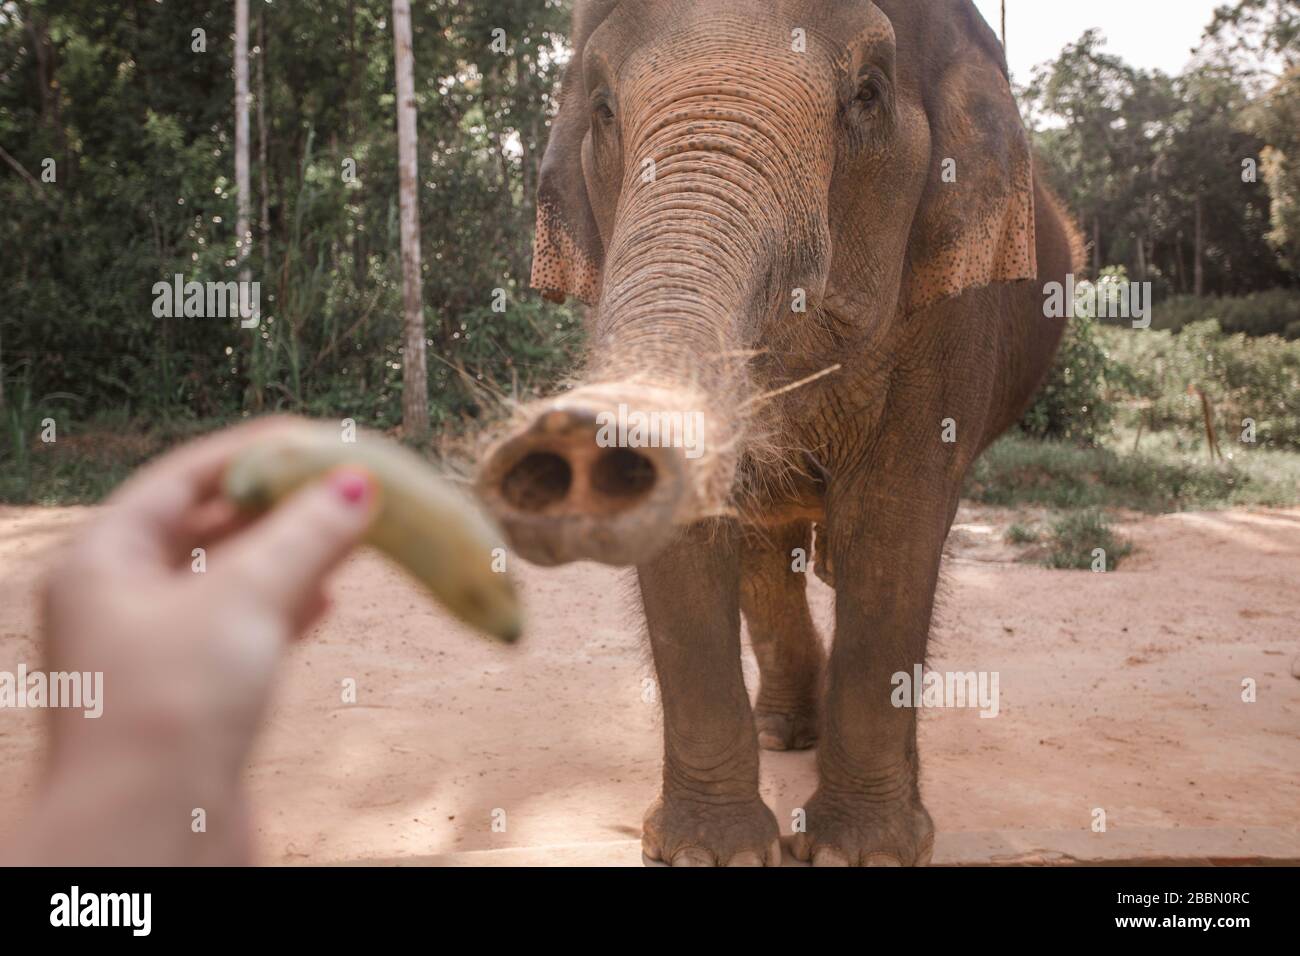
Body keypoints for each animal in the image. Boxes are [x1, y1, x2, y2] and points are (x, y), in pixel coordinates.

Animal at [477, 0, 1079, 866]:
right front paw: (714, 853)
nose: (577, 444)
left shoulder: (954, 314)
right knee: (768, 547)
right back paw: (787, 733)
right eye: (603, 108)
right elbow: (698, 528)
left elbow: (893, 527)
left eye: (866, 94)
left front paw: (858, 852)